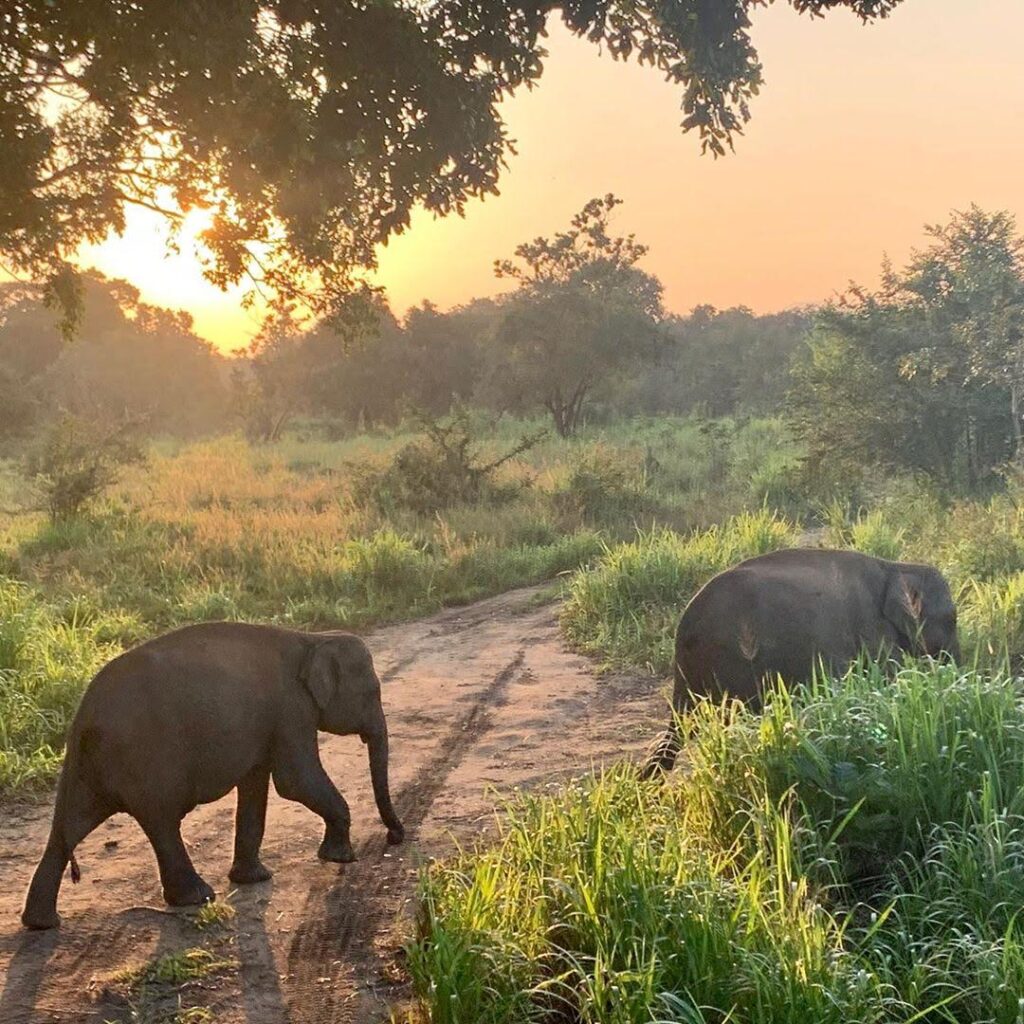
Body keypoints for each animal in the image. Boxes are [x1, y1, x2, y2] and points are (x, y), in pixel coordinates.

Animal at [22, 623, 404, 930]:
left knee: (70, 824)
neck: (313, 638)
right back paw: (197, 897)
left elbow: (257, 785)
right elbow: (295, 780)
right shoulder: (292, 710)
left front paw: (254, 879)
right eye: (372, 692)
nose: (394, 837)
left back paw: (40, 923)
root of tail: (84, 713)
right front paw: (340, 858)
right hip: (145, 757)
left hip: (93, 764)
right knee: (161, 820)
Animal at [642, 548, 960, 778]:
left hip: (697, 671)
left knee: (684, 725)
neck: (895, 567)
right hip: (731, 660)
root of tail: (686, 626)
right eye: (951, 620)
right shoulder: (871, 628)